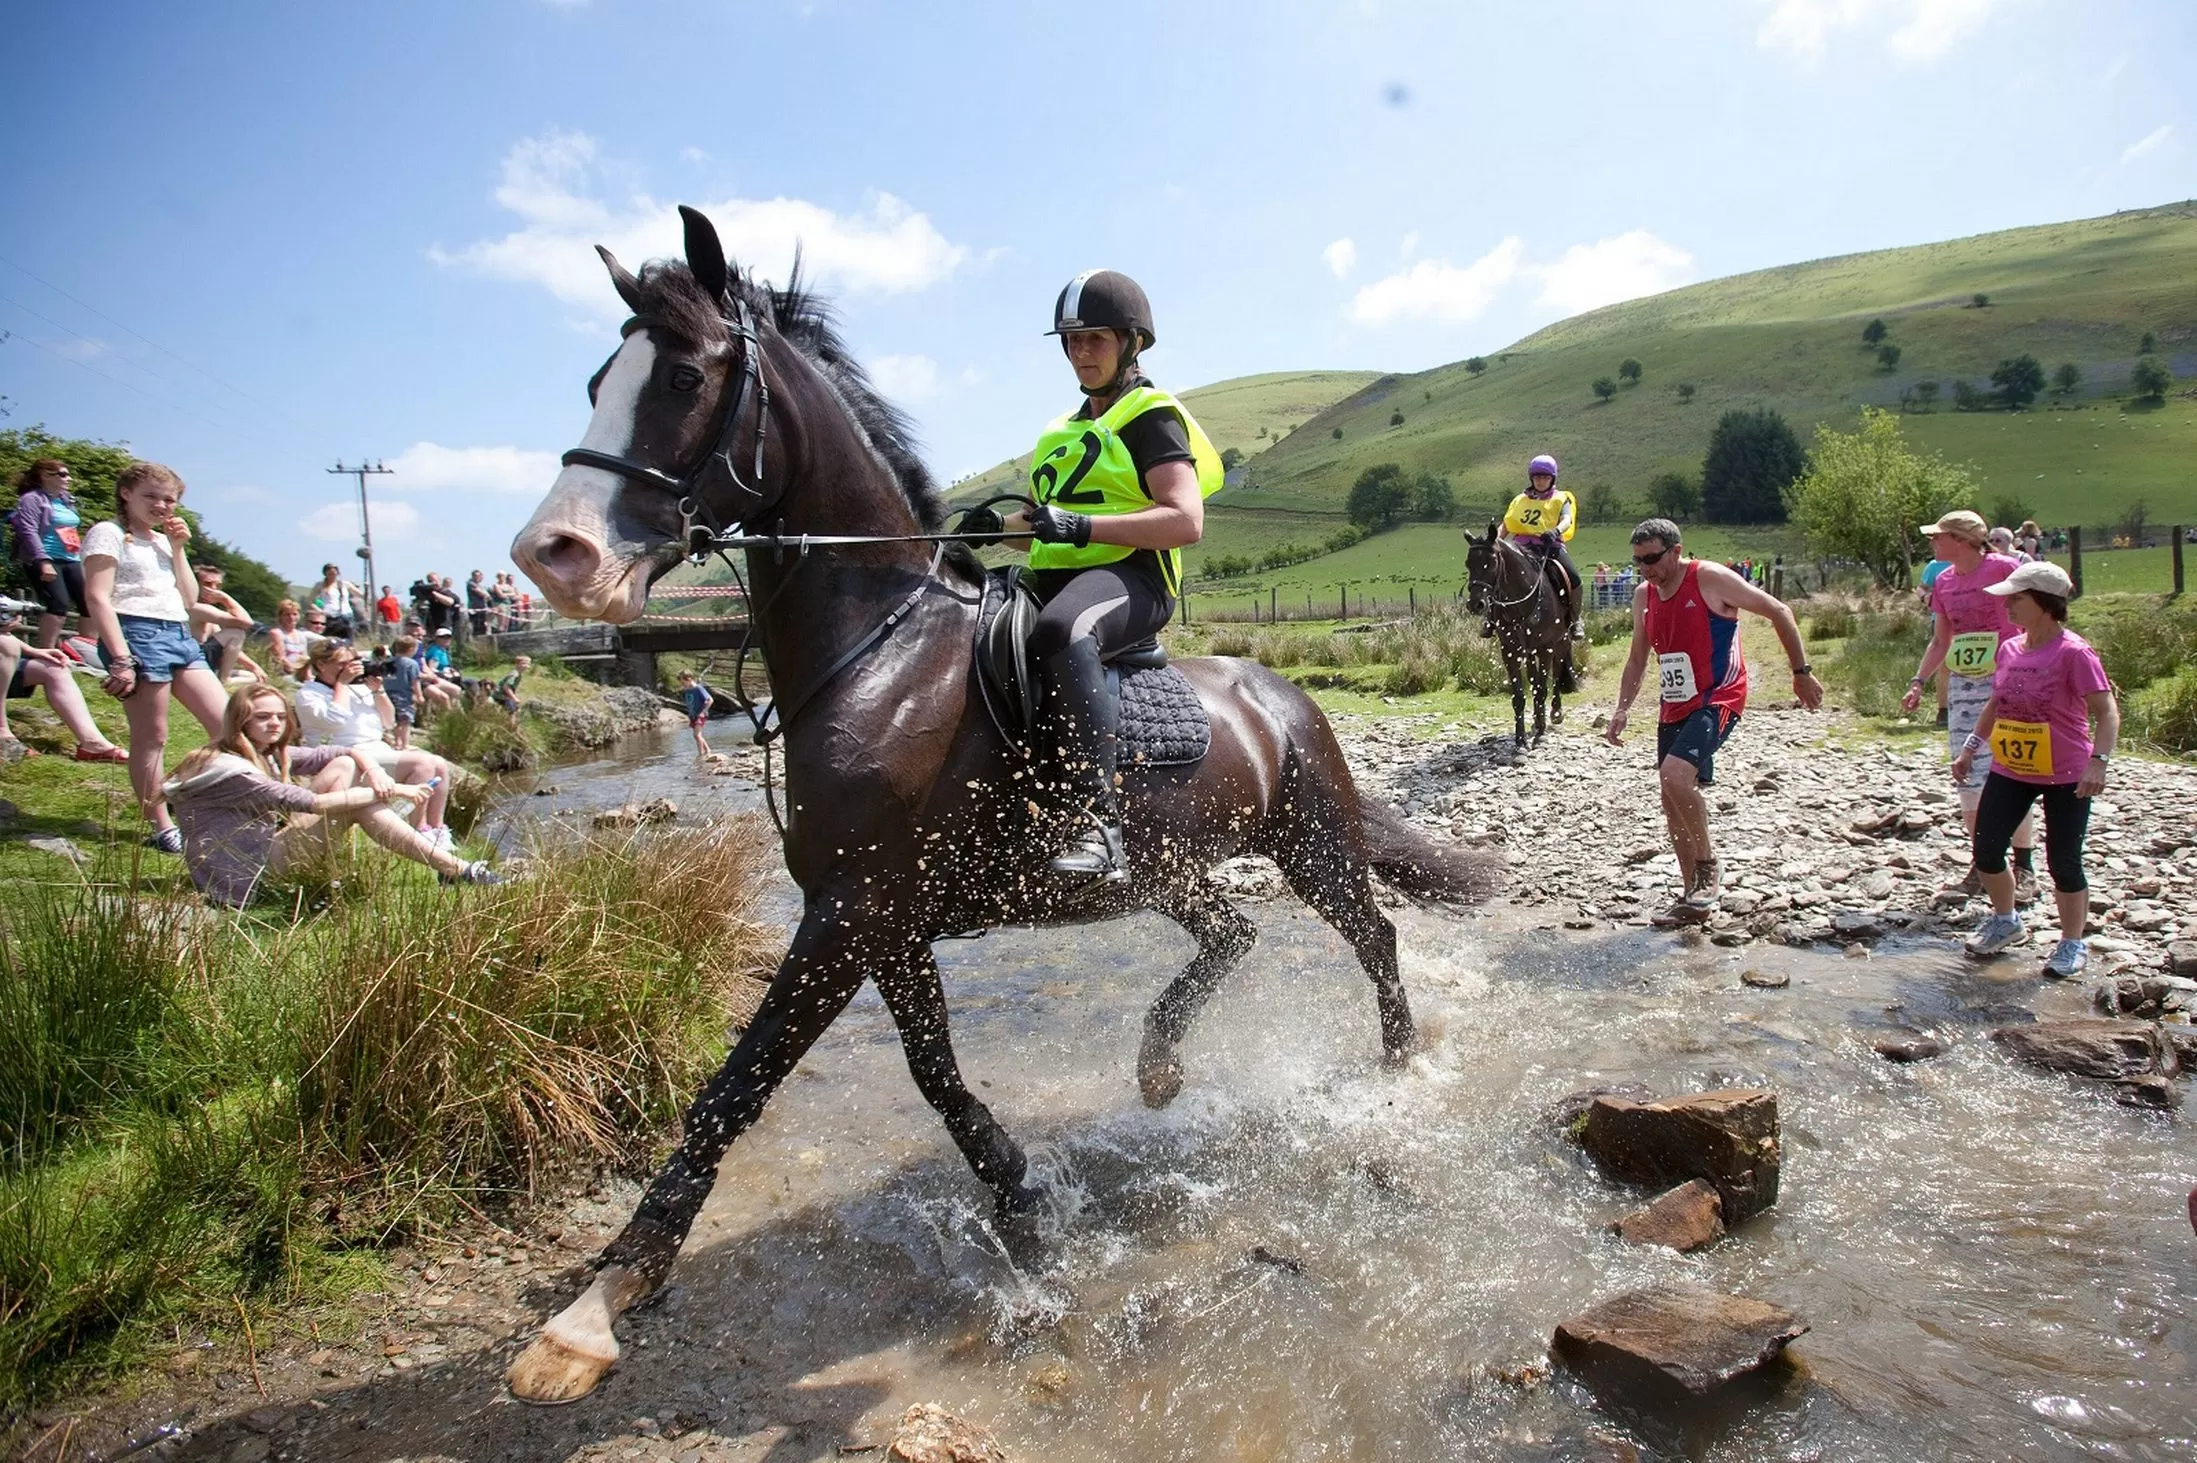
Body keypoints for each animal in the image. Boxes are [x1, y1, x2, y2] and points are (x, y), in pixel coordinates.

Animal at [503, 207, 1502, 1405]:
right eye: (597, 378)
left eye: (688, 375)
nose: (552, 557)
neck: (878, 656)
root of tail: (1284, 691)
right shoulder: (881, 917)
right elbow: (932, 1069)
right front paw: (1018, 1189)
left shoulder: (847, 913)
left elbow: (738, 1082)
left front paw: (598, 1302)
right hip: (1170, 869)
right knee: (1230, 932)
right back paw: (1160, 1069)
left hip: (1311, 843)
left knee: (1372, 934)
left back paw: (1395, 1065)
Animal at [1467, 518, 1573, 746]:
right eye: (1468, 564)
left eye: (1492, 562)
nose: (1475, 605)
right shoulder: (1510, 651)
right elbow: (1519, 695)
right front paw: (1520, 738)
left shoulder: (1545, 648)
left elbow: (1542, 689)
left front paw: (1540, 731)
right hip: (1530, 651)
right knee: (1533, 680)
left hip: (1561, 643)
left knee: (1557, 674)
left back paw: (1555, 714)